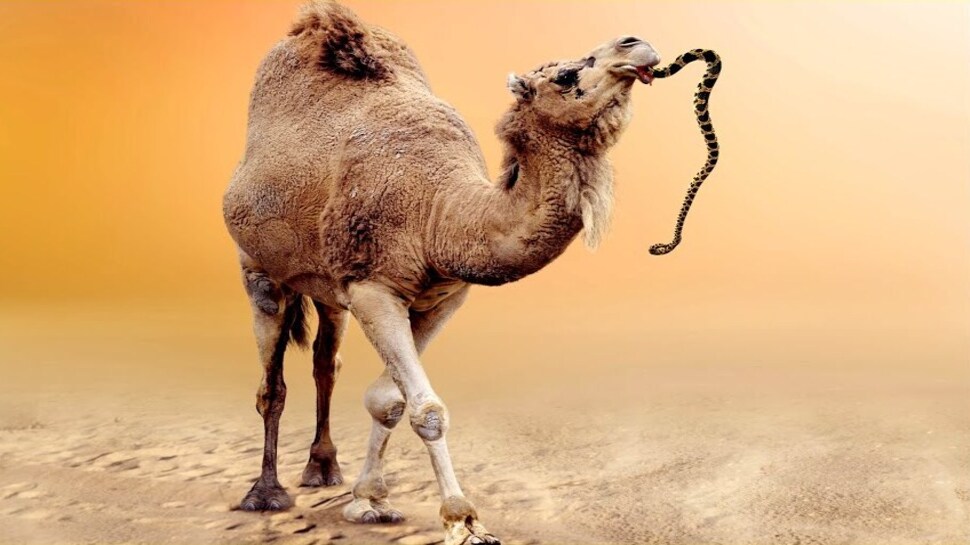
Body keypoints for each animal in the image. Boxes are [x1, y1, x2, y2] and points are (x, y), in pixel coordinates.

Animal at [222, 2, 660, 543]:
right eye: (565, 75)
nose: (635, 44)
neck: (441, 213)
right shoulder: (373, 288)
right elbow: (426, 409)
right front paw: (463, 518)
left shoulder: (442, 297)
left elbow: (387, 400)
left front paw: (370, 500)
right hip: (257, 267)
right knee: (271, 383)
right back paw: (266, 493)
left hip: (325, 283)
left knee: (326, 362)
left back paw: (323, 470)